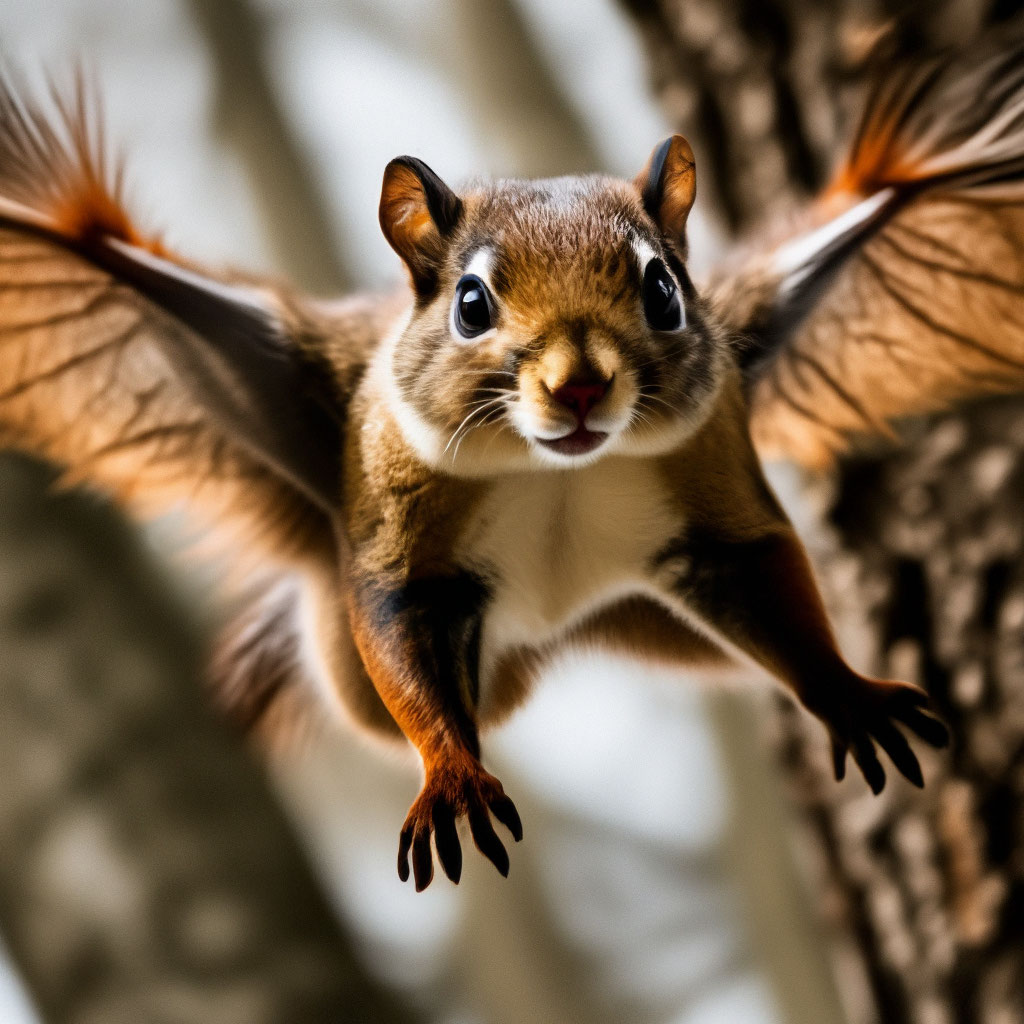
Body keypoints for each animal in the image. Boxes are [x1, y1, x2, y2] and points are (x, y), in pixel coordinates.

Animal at [0, 24, 1021, 891]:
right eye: (470, 303)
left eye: (664, 288)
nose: (579, 387)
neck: (555, 469)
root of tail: (551, 635)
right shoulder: (404, 546)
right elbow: (404, 636)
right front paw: (452, 778)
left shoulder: (718, 498)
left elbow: (771, 585)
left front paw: (848, 695)